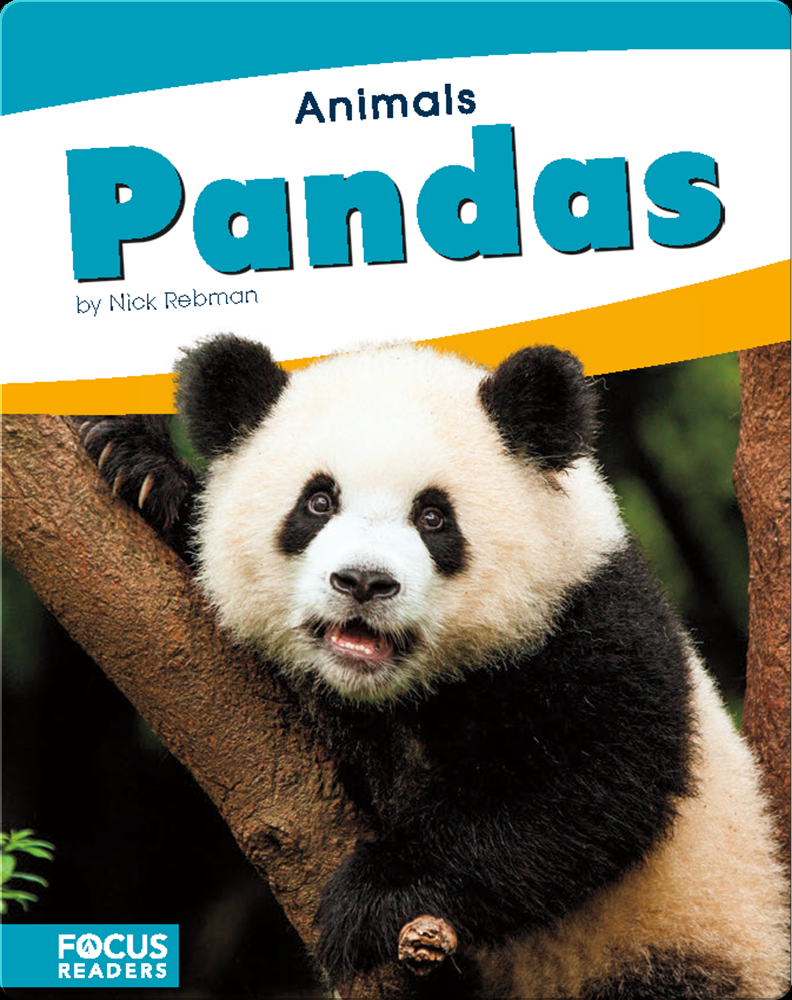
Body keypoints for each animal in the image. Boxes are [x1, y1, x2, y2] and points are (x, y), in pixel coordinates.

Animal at [78, 334, 789, 999]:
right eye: (317, 503)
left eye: (433, 516)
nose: (364, 581)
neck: (395, 693)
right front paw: (142, 470)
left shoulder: (592, 621)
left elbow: (589, 786)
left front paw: (370, 900)